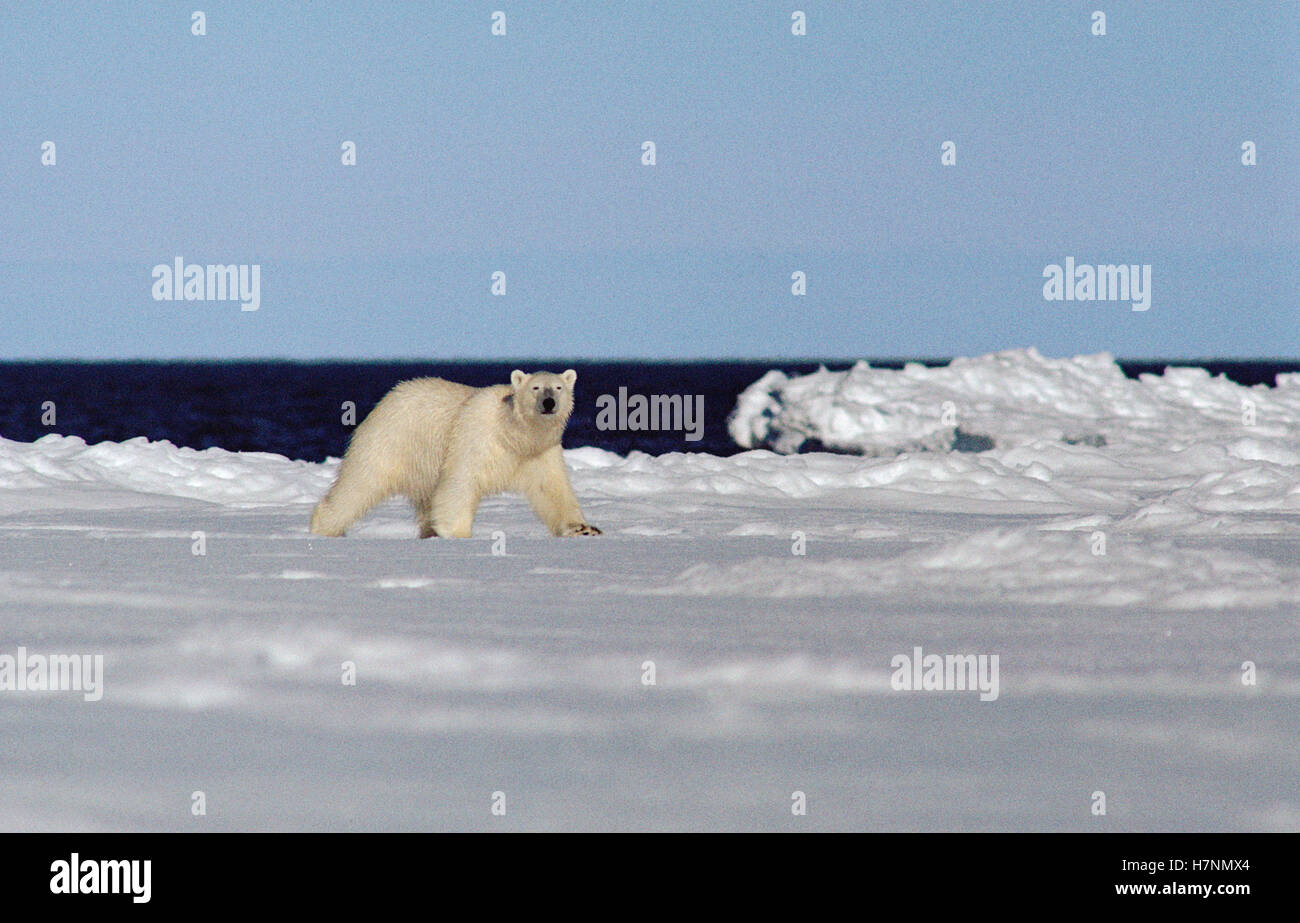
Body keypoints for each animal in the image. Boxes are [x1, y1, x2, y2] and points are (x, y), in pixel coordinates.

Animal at [309, 369, 602, 539]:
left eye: (558, 387)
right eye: (536, 388)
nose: (549, 403)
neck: (513, 434)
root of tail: (386, 399)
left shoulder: (540, 452)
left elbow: (552, 489)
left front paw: (583, 528)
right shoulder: (476, 437)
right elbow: (460, 482)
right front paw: (458, 534)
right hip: (393, 441)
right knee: (359, 484)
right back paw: (324, 528)